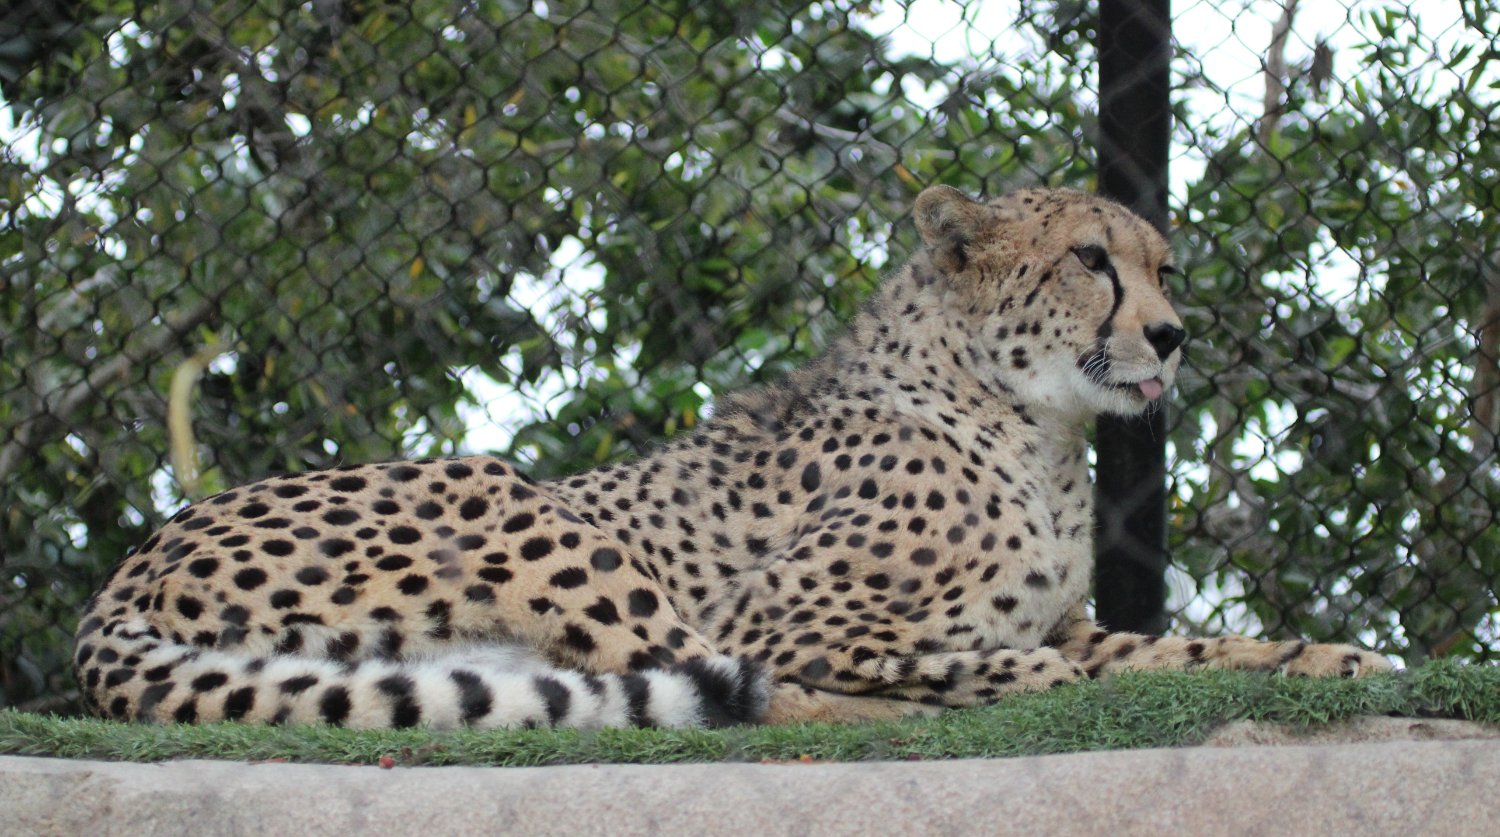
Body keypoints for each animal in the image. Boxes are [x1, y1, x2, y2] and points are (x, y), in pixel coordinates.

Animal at [73, 184, 1393, 730]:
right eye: (1088, 260)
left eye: (1162, 266)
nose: (1171, 334)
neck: (1037, 427)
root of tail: (122, 581)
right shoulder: (792, 615)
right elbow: (932, 659)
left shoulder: (1074, 617)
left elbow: (1198, 649)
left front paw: (1337, 658)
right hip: (505, 494)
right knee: (733, 684)